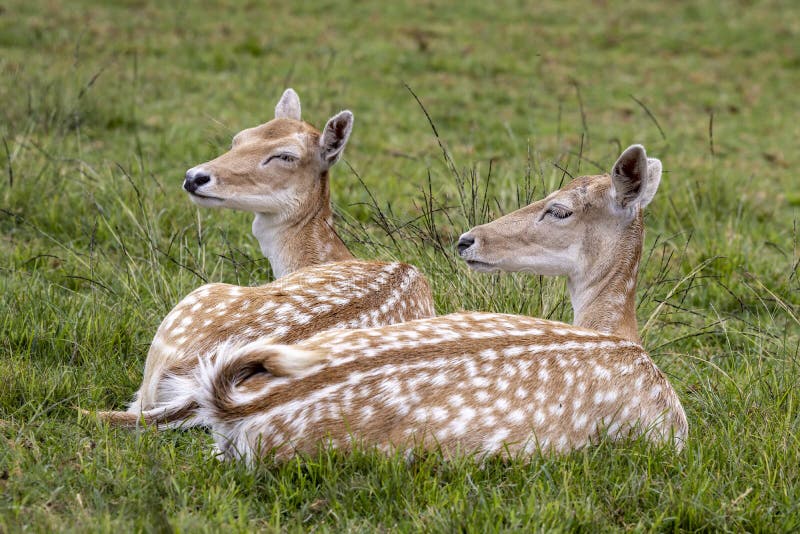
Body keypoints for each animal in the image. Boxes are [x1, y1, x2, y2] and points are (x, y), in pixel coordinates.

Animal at [90, 89, 436, 428]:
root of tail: (194, 389)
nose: (194, 177)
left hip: (194, 302)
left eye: (286, 156)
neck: (325, 257)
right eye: (238, 138)